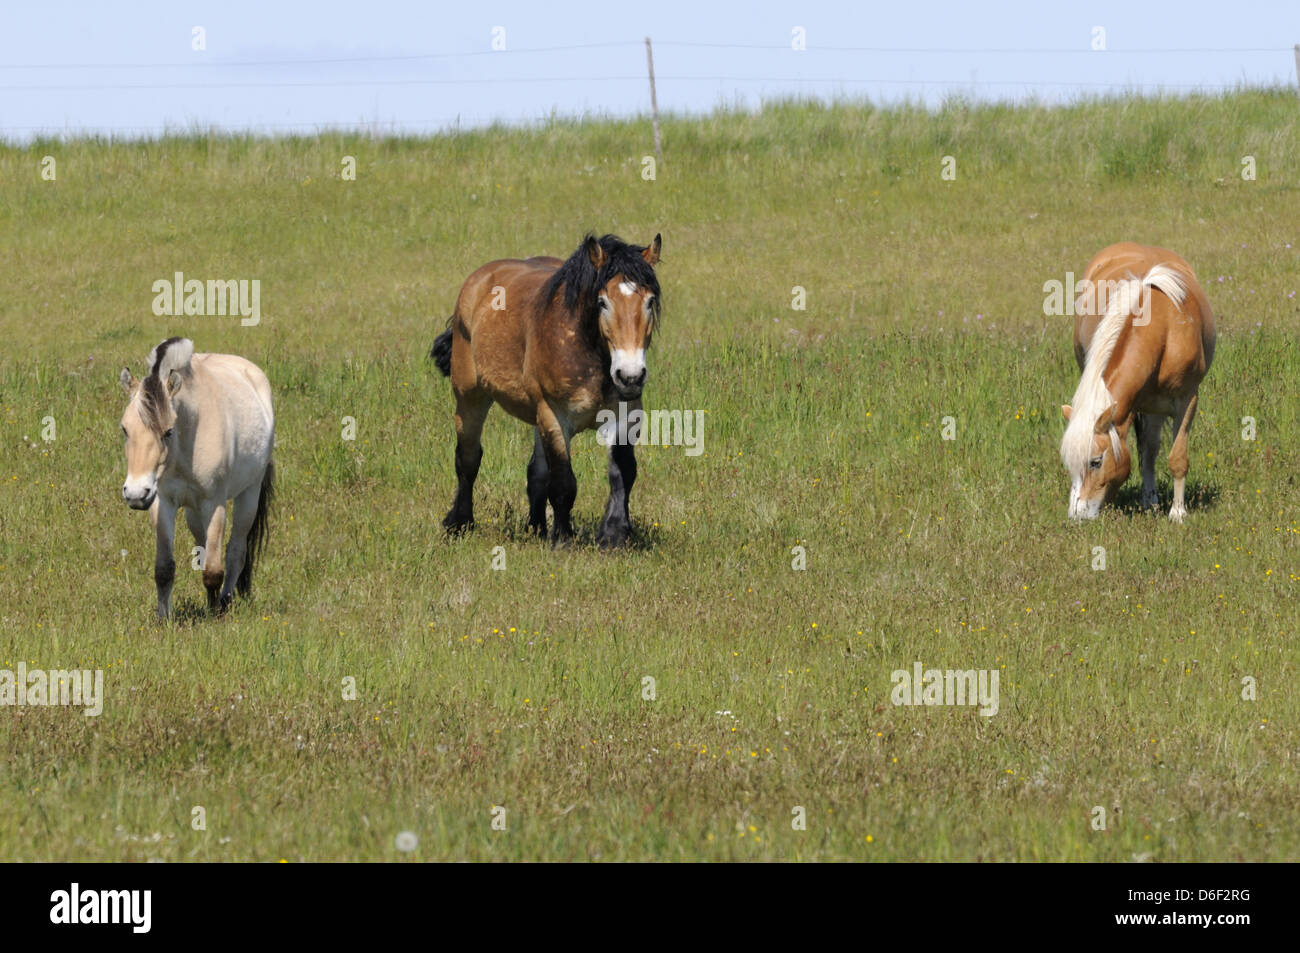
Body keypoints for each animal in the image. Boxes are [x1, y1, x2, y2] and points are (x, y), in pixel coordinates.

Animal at [119, 337, 276, 618]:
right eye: (125, 429)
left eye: (168, 431)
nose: (136, 494)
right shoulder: (162, 503)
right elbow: (164, 568)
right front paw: (163, 618)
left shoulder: (214, 504)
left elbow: (214, 570)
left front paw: (214, 613)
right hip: (193, 512)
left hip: (249, 494)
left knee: (236, 552)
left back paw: (224, 601)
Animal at [430, 233, 662, 547]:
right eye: (602, 302)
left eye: (649, 301)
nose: (630, 375)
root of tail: (476, 283)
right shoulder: (554, 417)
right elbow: (564, 482)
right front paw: (563, 538)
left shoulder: (625, 416)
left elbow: (622, 472)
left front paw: (614, 536)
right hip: (470, 397)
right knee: (468, 459)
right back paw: (460, 523)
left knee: (535, 472)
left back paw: (536, 527)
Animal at [1060, 242, 1216, 522]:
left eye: (1096, 461)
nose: (1077, 515)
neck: (1165, 328)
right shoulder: (1134, 407)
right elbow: (1145, 452)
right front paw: (1151, 501)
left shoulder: (1187, 400)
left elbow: (1176, 456)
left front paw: (1177, 513)